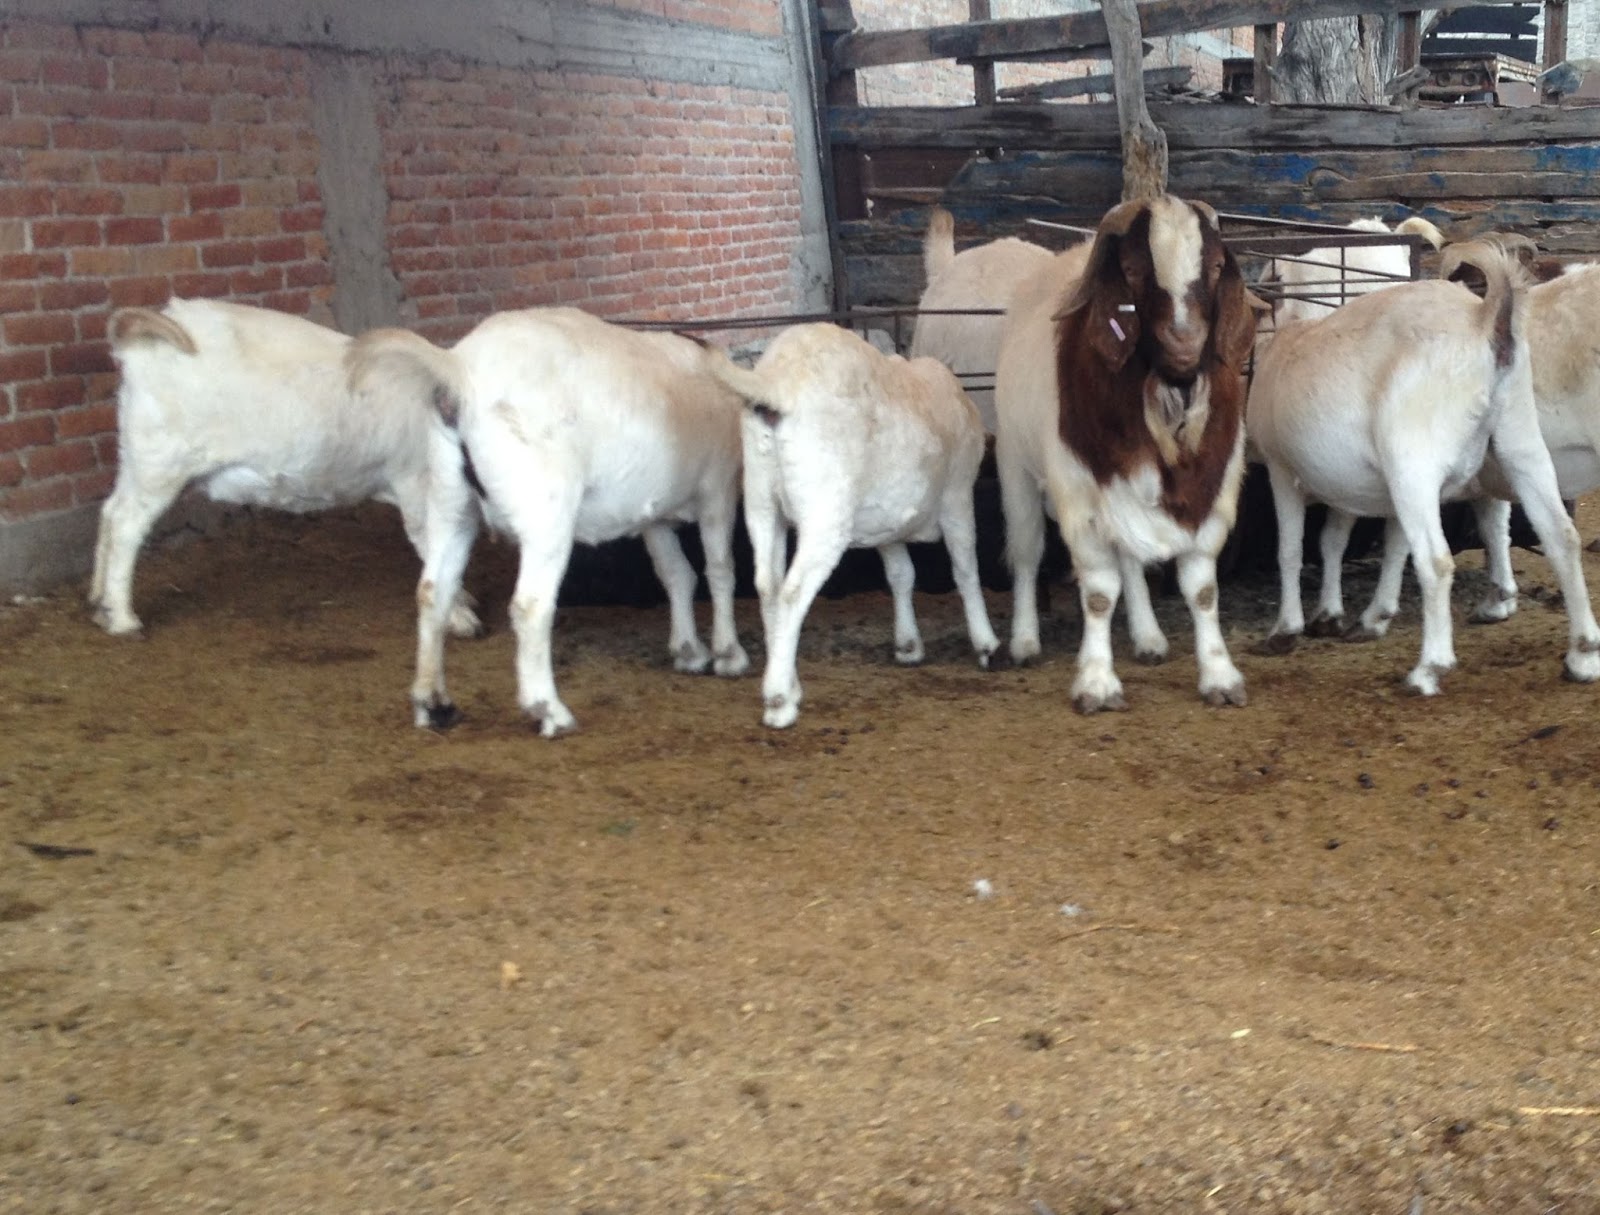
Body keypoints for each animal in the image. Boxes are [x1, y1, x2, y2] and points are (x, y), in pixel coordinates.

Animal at [91, 299, 481, 638]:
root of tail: (161, 325)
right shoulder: (418, 481)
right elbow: (435, 546)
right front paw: (460, 618)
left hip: (138, 458)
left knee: (110, 511)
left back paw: (98, 603)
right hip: (161, 461)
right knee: (127, 523)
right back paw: (123, 619)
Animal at [346, 307, 748, 736]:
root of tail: (460, 371)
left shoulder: (652, 512)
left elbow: (677, 575)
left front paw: (689, 651)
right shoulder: (718, 489)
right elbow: (720, 570)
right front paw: (729, 654)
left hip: (448, 499)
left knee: (432, 591)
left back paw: (434, 703)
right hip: (545, 509)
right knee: (530, 606)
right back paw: (548, 709)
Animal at [707, 323, 999, 729]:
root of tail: (777, 381)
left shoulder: (886, 521)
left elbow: (901, 574)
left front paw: (908, 644)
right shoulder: (957, 496)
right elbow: (966, 570)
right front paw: (986, 644)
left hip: (761, 499)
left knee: (768, 586)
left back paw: (788, 683)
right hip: (825, 509)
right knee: (793, 591)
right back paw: (779, 700)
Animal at [994, 195, 1261, 712]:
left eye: (1217, 266)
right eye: (1134, 269)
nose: (1185, 344)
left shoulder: (1209, 493)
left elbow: (1202, 590)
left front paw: (1220, 676)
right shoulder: (1081, 496)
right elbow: (1099, 593)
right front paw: (1097, 683)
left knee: (1133, 561)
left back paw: (1148, 637)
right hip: (1016, 468)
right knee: (1027, 554)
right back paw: (1024, 642)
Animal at [1248, 241, 1600, 694]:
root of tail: (1483, 317)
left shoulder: (1283, 468)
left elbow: (1293, 548)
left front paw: (1289, 628)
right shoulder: (1360, 483)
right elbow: (1366, 542)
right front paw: (1348, 614)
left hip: (1412, 457)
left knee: (1436, 561)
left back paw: (1429, 668)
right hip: (1518, 442)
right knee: (1562, 537)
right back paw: (1583, 654)